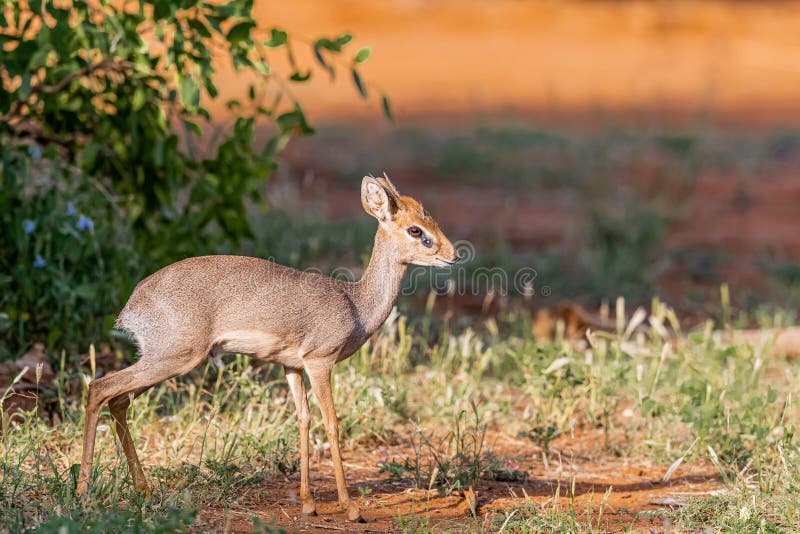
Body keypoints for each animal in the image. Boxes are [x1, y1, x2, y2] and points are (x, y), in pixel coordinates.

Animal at [75, 176, 458, 522]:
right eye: (415, 230)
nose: (453, 255)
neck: (356, 303)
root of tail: (132, 304)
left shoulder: (292, 367)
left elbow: (303, 419)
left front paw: (308, 503)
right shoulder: (320, 362)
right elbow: (331, 423)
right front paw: (350, 509)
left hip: (162, 363)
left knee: (118, 401)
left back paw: (143, 490)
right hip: (173, 360)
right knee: (99, 388)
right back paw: (83, 493)